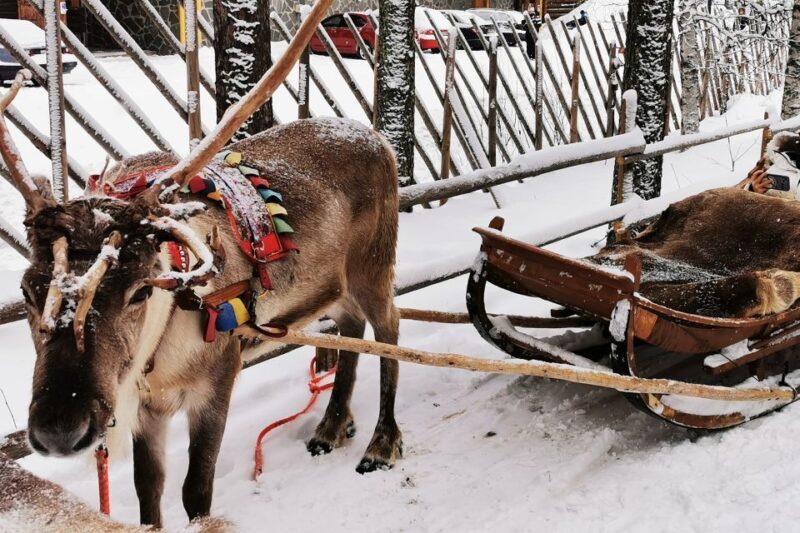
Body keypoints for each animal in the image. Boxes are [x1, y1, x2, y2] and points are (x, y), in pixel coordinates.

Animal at [4, 0, 403, 527]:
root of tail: (379, 139)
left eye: (141, 289)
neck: (158, 352)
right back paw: (331, 427)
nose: (59, 430)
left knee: (390, 329)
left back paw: (382, 443)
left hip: (374, 265)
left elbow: (197, 492)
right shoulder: (148, 406)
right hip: (331, 285)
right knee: (353, 327)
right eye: (28, 290)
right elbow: (148, 491)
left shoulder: (217, 380)